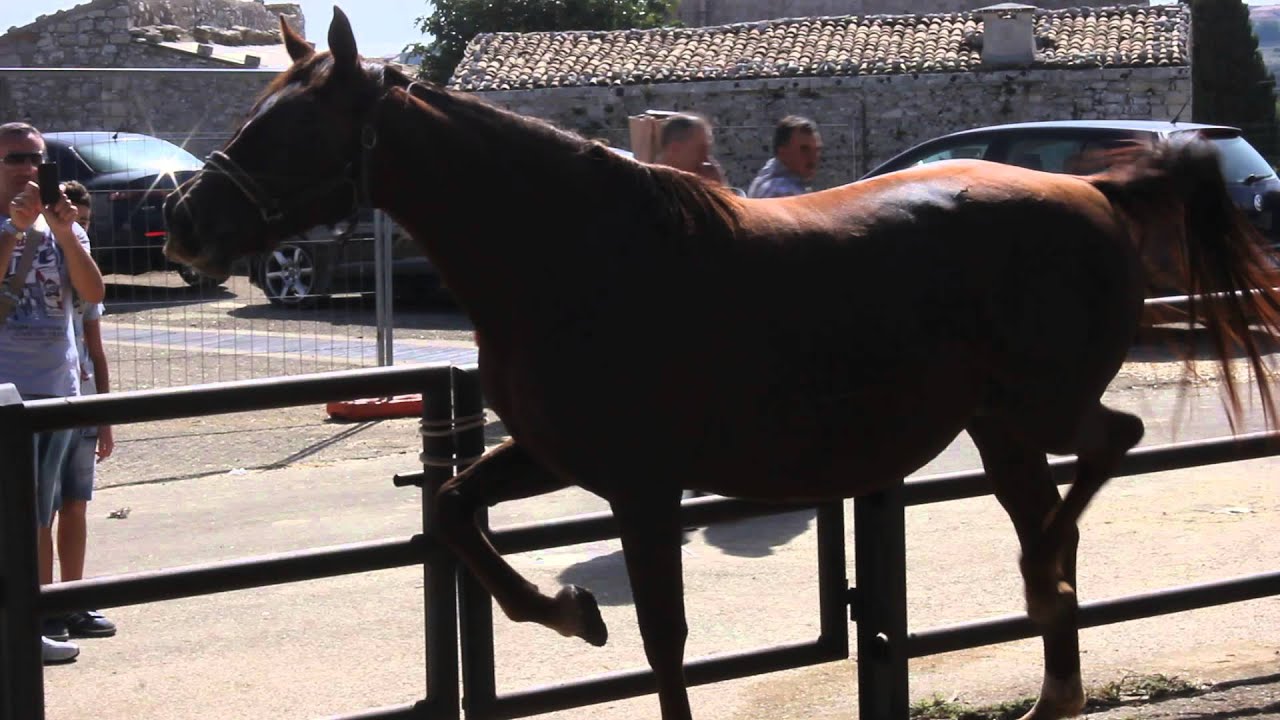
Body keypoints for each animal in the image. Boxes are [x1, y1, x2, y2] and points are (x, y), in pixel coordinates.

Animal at [162, 9, 1280, 720]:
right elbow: (453, 511)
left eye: (287, 125)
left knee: (1111, 446)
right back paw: (1051, 666)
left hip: (1036, 407)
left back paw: (1042, 580)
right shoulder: (555, 457)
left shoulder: (643, 486)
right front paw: (567, 614)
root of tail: (1093, 189)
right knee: (1058, 513)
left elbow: (665, 637)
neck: (573, 255)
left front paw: (586, 620)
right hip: (999, 427)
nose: (184, 225)